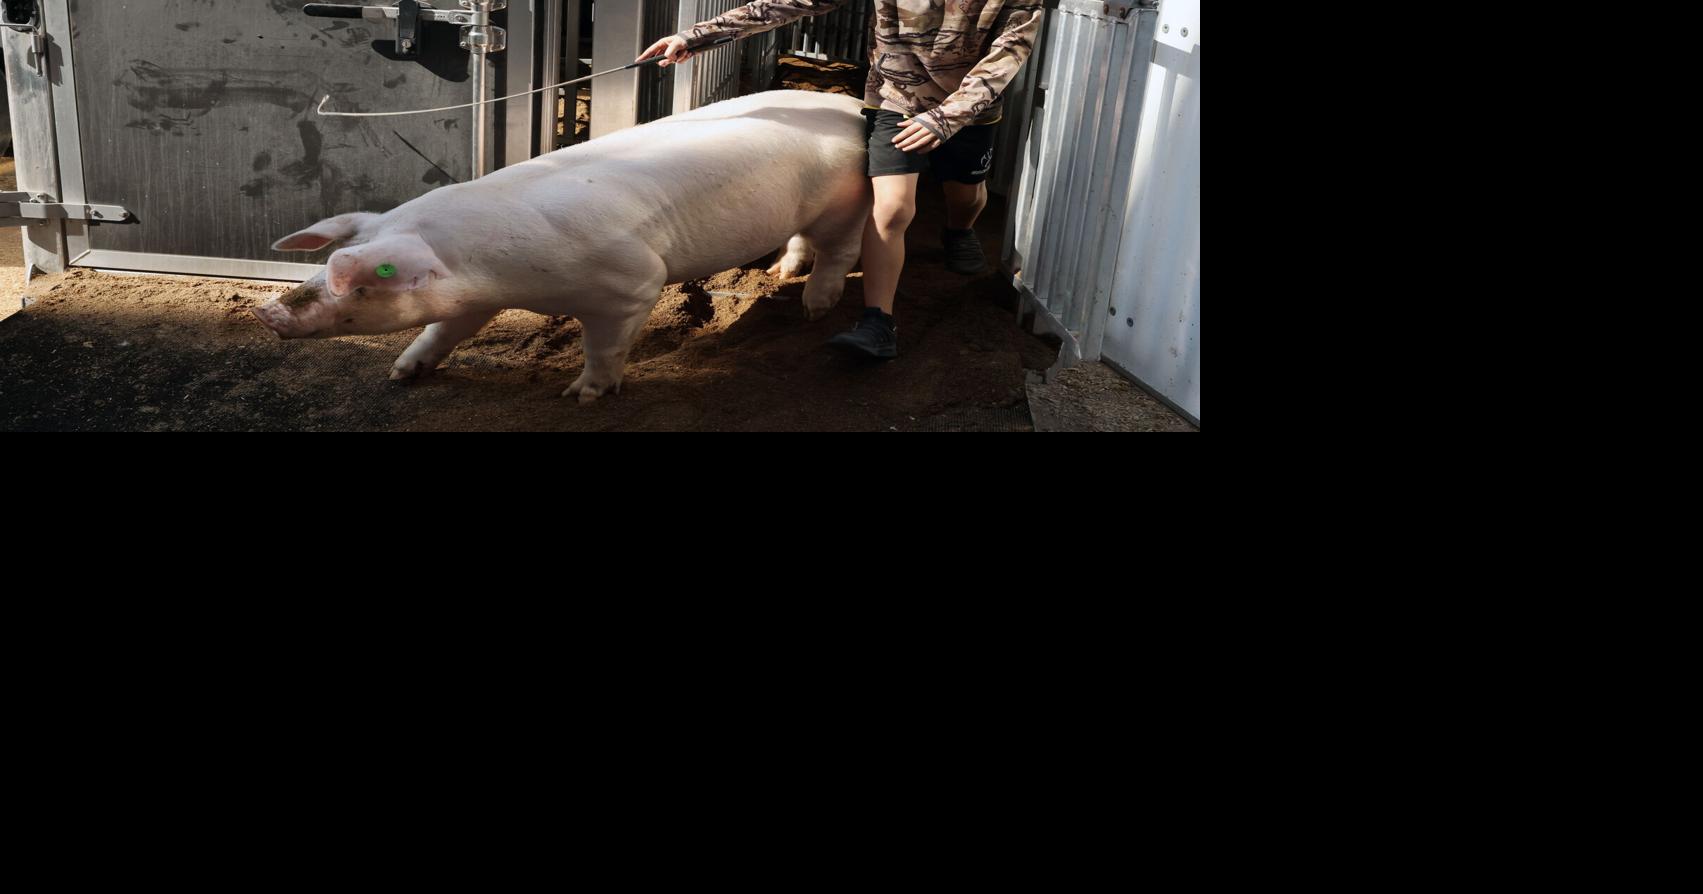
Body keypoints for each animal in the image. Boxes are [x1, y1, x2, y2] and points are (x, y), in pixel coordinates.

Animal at [252, 89, 874, 403]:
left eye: (365, 281)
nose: (267, 311)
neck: (493, 271)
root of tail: (852, 107)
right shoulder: (472, 299)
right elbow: (443, 330)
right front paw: (401, 374)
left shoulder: (633, 283)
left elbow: (603, 346)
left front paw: (581, 397)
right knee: (800, 239)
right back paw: (779, 274)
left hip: (845, 202)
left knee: (841, 251)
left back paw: (814, 308)